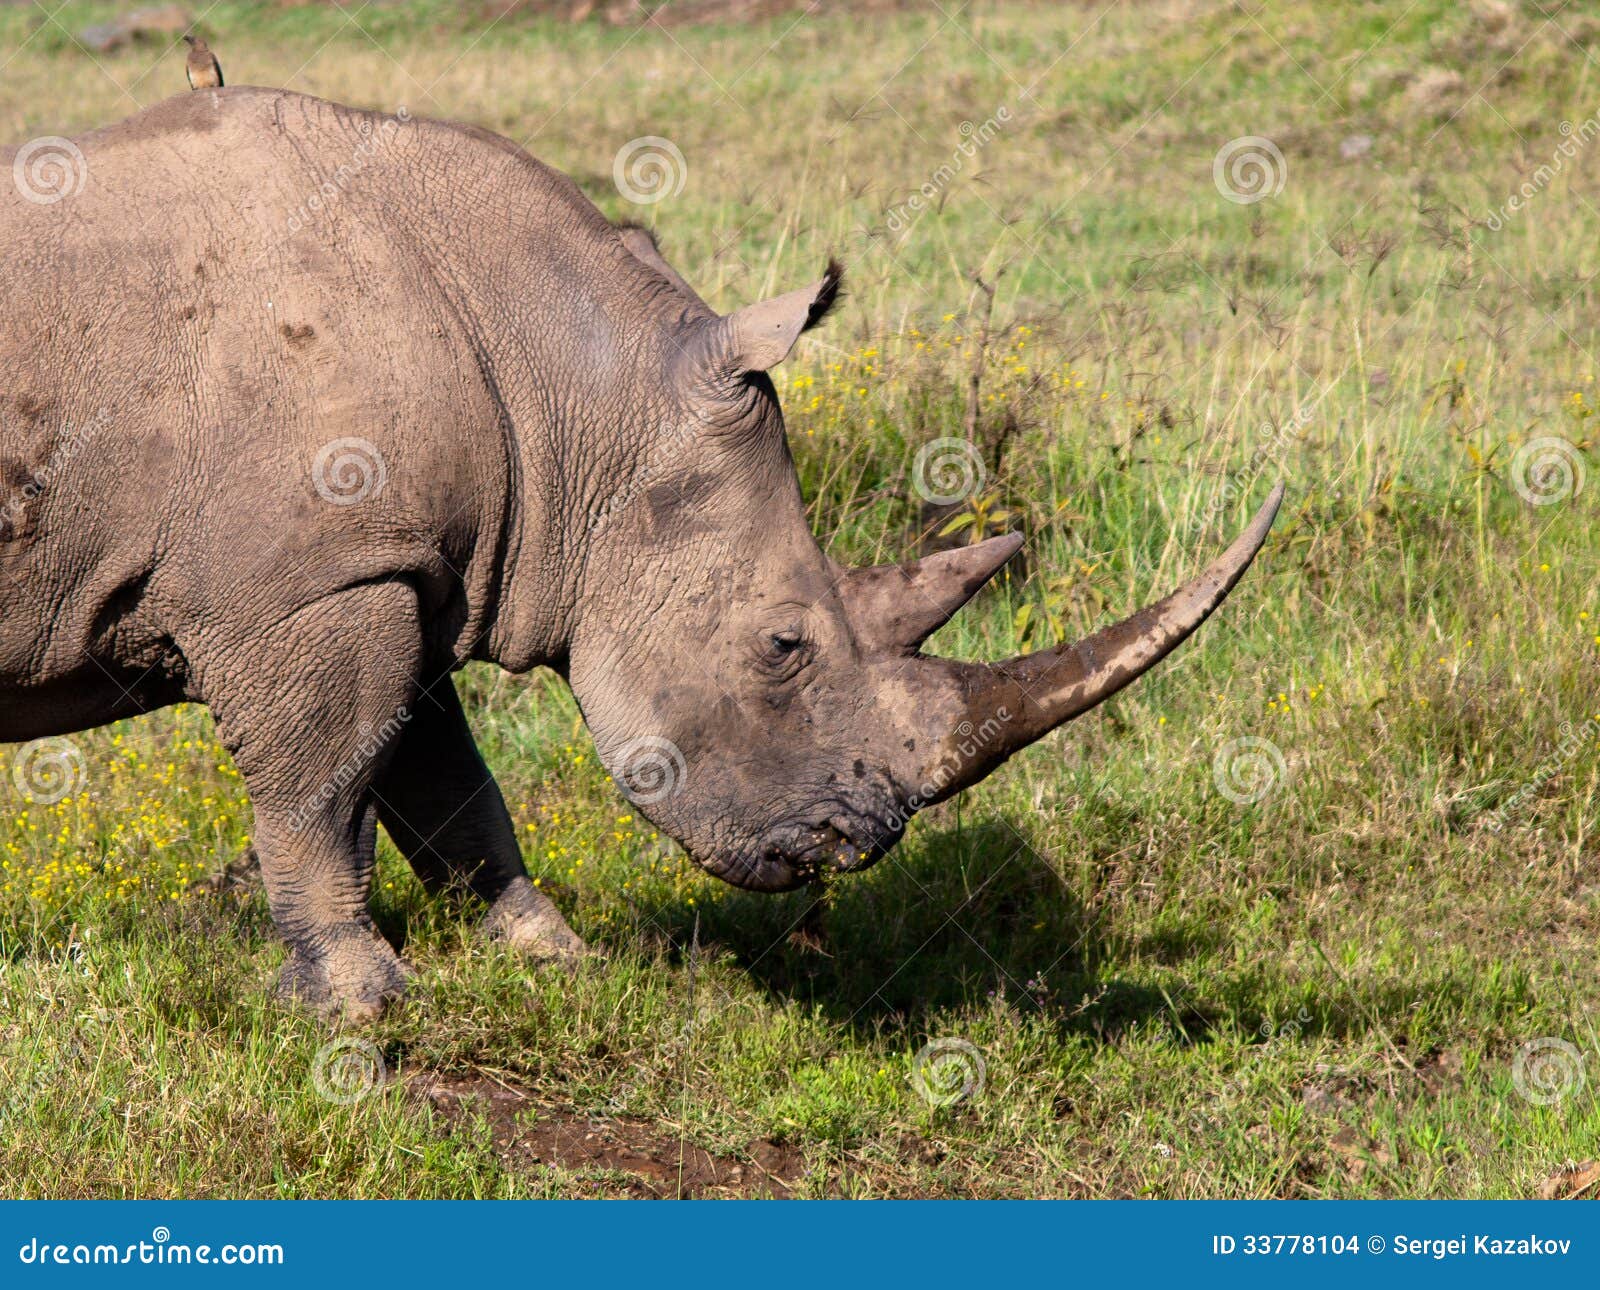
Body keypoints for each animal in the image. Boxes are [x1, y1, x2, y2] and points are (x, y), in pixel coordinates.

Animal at [0, 90, 1281, 1015]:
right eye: (782, 647)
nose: (859, 843)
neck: (571, 385)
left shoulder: (396, 566)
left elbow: (444, 780)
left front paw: (552, 959)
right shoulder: (311, 586)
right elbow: (324, 790)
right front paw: (359, 1008)